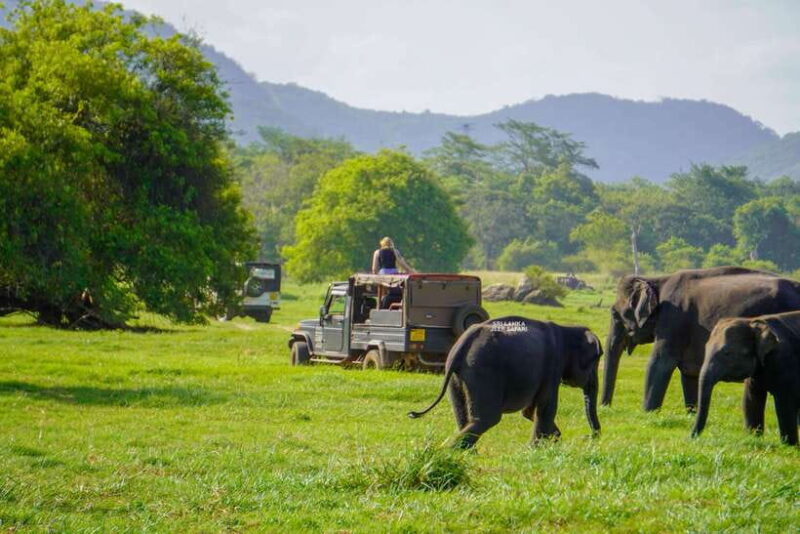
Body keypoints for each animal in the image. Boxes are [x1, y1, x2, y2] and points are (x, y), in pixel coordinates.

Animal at [408, 316, 603, 448]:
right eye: (596, 360)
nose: (587, 437)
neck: (568, 330)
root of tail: (464, 343)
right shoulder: (553, 365)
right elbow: (545, 407)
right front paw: (535, 449)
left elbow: (529, 411)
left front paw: (553, 439)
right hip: (483, 371)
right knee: (487, 418)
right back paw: (452, 451)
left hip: (457, 375)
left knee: (463, 415)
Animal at [603, 267, 800, 426]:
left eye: (614, 314)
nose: (606, 408)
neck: (657, 280)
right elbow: (689, 374)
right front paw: (691, 415)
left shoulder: (672, 319)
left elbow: (659, 363)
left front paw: (647, 415)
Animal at [692, 312, 800, 445]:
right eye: (705, 348)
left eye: (727, 353)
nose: (691, 438)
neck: (752, 321)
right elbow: (750, 400)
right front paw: (753, 438)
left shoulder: (785, 362)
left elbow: (785, 405)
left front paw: (789, 445)